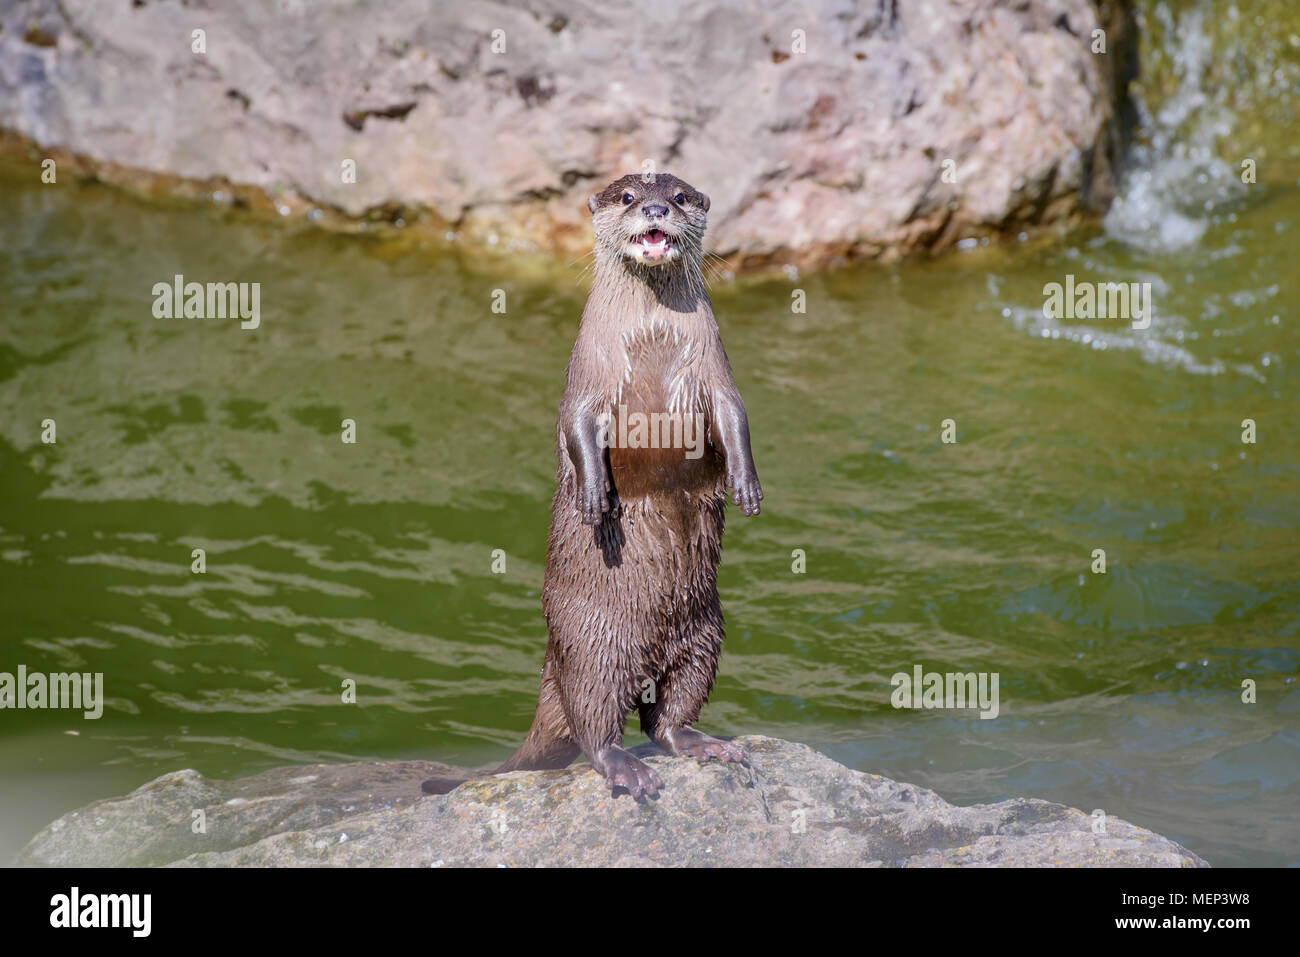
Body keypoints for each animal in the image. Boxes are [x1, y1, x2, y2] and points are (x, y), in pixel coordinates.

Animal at [423, 172, 761, 799]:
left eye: (679, 197)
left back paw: (701, 744)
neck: (651, 337)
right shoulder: (588, 369)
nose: (654, 209)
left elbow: (734, 416)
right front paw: (594, 498)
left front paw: (747, 485)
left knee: (665, 716)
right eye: (628, 198)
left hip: (705, 637)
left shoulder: (714, 366)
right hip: (593, 650)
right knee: (594, 722)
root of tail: (552, 663)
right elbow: (576, 423)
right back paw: (626, 768)